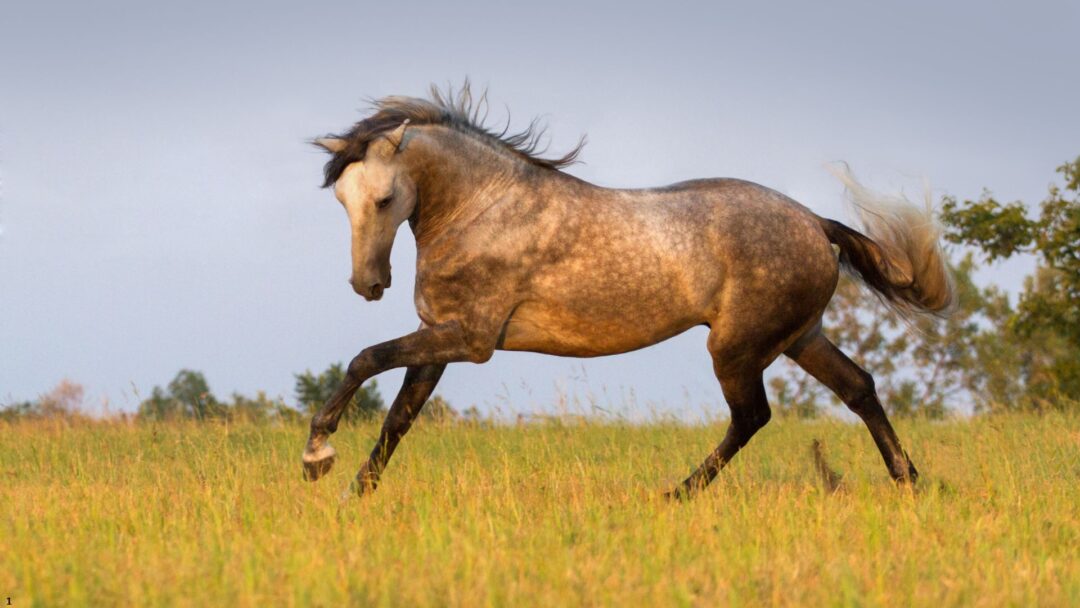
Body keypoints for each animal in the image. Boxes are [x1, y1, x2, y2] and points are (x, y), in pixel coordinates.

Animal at [302, 85, 953, 499]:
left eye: (385, 198)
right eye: (342, 199)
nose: (368, 284)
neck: (484, 209)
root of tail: (816, 223)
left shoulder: (468, 338)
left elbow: (365, 360)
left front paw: (317, 458)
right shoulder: (439, 337)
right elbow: (399, 417)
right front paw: (356, 493)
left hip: (737, 347)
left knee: (752, 416)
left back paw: (677, 494)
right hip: (800, 337)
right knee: (859, 388)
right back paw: (910, 482)